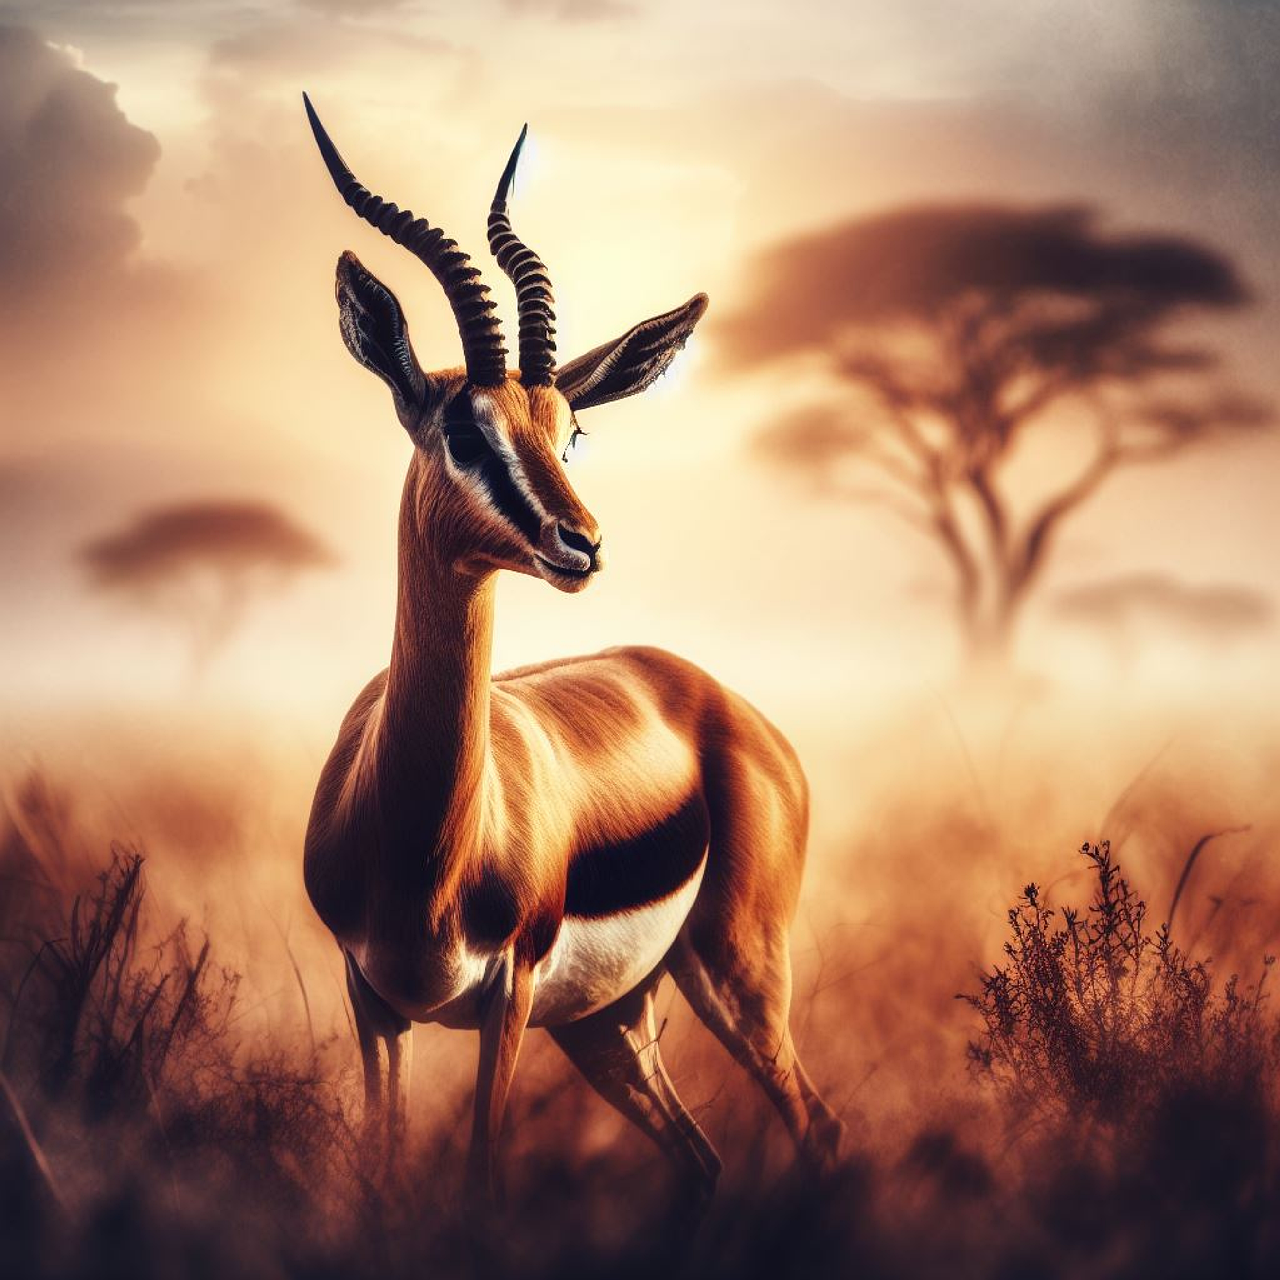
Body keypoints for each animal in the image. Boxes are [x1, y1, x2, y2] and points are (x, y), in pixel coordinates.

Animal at [301, 95, 844, 1212]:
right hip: (607, 1020)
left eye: (569, 429)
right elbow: (382, 1174)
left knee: (816, 1125)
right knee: (703, 1157)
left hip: (735, 970)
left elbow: (477, 1181)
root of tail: (712, 694)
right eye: (464, 431)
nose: (580, 542)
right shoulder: (371, 995)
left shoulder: (508, 988)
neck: (423, 839)